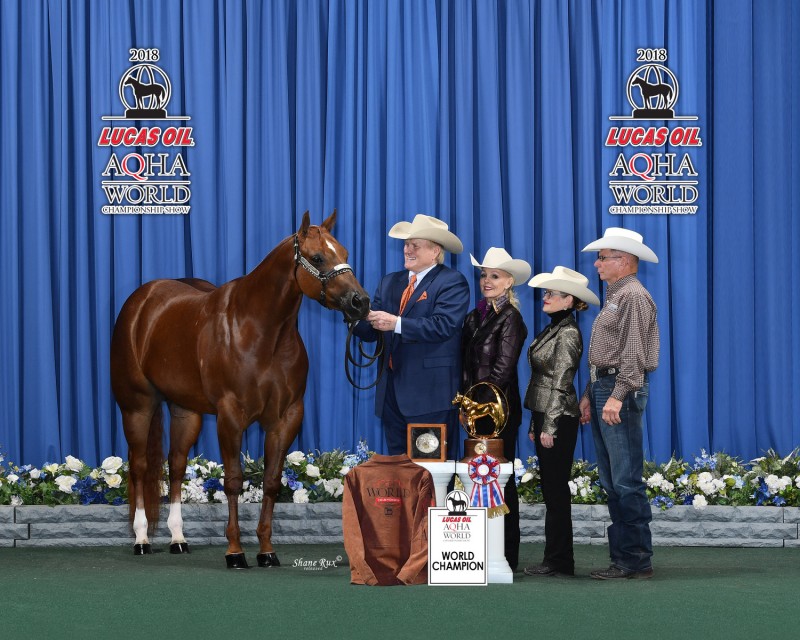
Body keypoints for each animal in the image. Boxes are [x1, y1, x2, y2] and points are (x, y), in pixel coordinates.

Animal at [110, 210, 370, 569]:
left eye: (344, 253)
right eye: (318, 257)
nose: (360, 302)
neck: (261, 332)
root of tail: (141, 302)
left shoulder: (286, 418)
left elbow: (271, 483)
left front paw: (266, 551)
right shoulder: (230, 417)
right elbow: (233, 482)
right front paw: (234, 551)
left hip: (185, 411)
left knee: (175, 466)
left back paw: (178, 538)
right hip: (137, 405)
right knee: (138, 467)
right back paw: (141, 539)